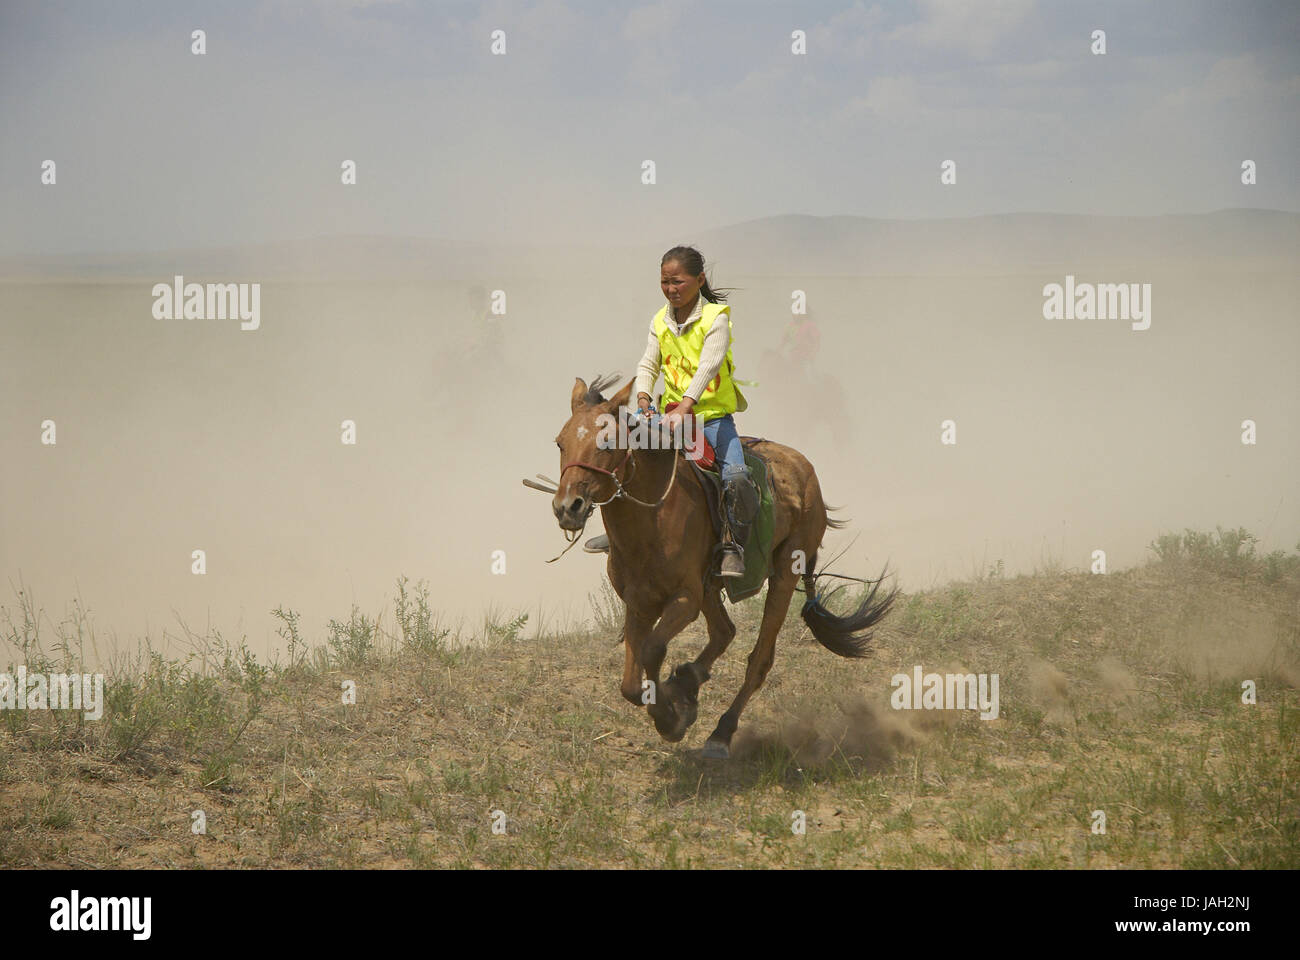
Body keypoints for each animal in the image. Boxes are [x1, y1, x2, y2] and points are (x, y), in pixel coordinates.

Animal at [549, 374, 896, 759]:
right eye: (561, 443)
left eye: (607, 441)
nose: (568, 507)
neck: (653, 518)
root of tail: (804, 469)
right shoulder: (639, 602)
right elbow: (631, 683)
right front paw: (679, 701)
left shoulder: (684, 599)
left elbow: (653, 650)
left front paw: (671, 718)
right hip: (710, 589)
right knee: (724, 631)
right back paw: (690, 679)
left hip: (783, 574)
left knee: (758, 660)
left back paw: (721, 732)